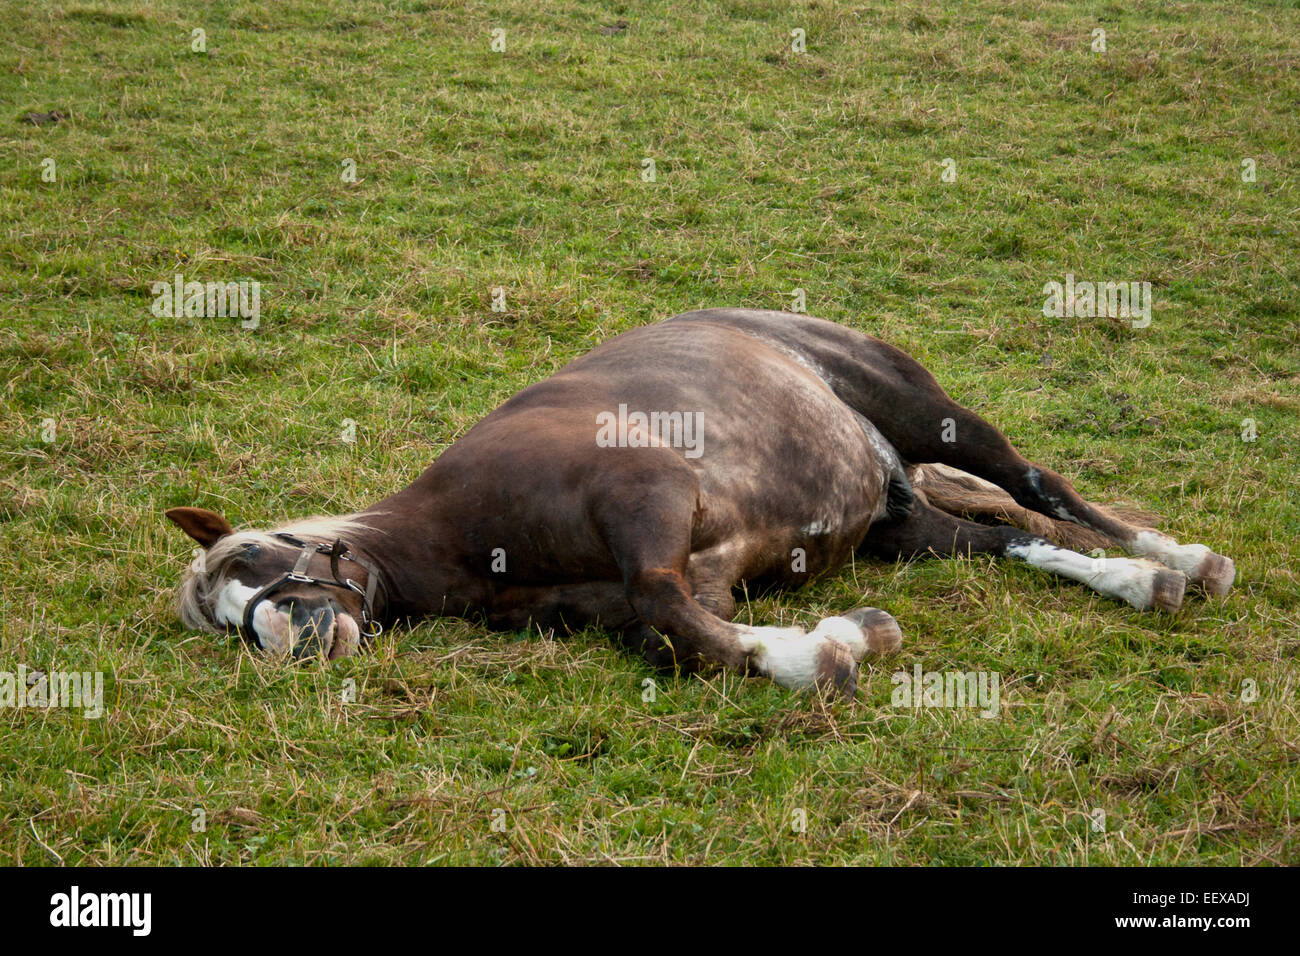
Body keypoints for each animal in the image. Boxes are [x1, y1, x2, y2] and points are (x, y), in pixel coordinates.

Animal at [166, 309, 1235, 698]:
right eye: (223, 621)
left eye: (255, 555)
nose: (288, 639)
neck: (463, 533)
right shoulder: (686, 583)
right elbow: (684, 635)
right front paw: (842, 638)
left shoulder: (651, 501)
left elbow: (668, 608)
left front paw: (827, 654)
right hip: (901, 523)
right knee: (1007, 536)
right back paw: (1135, 580)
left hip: (931, 418)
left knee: (1040, 486)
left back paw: (1178, 558)